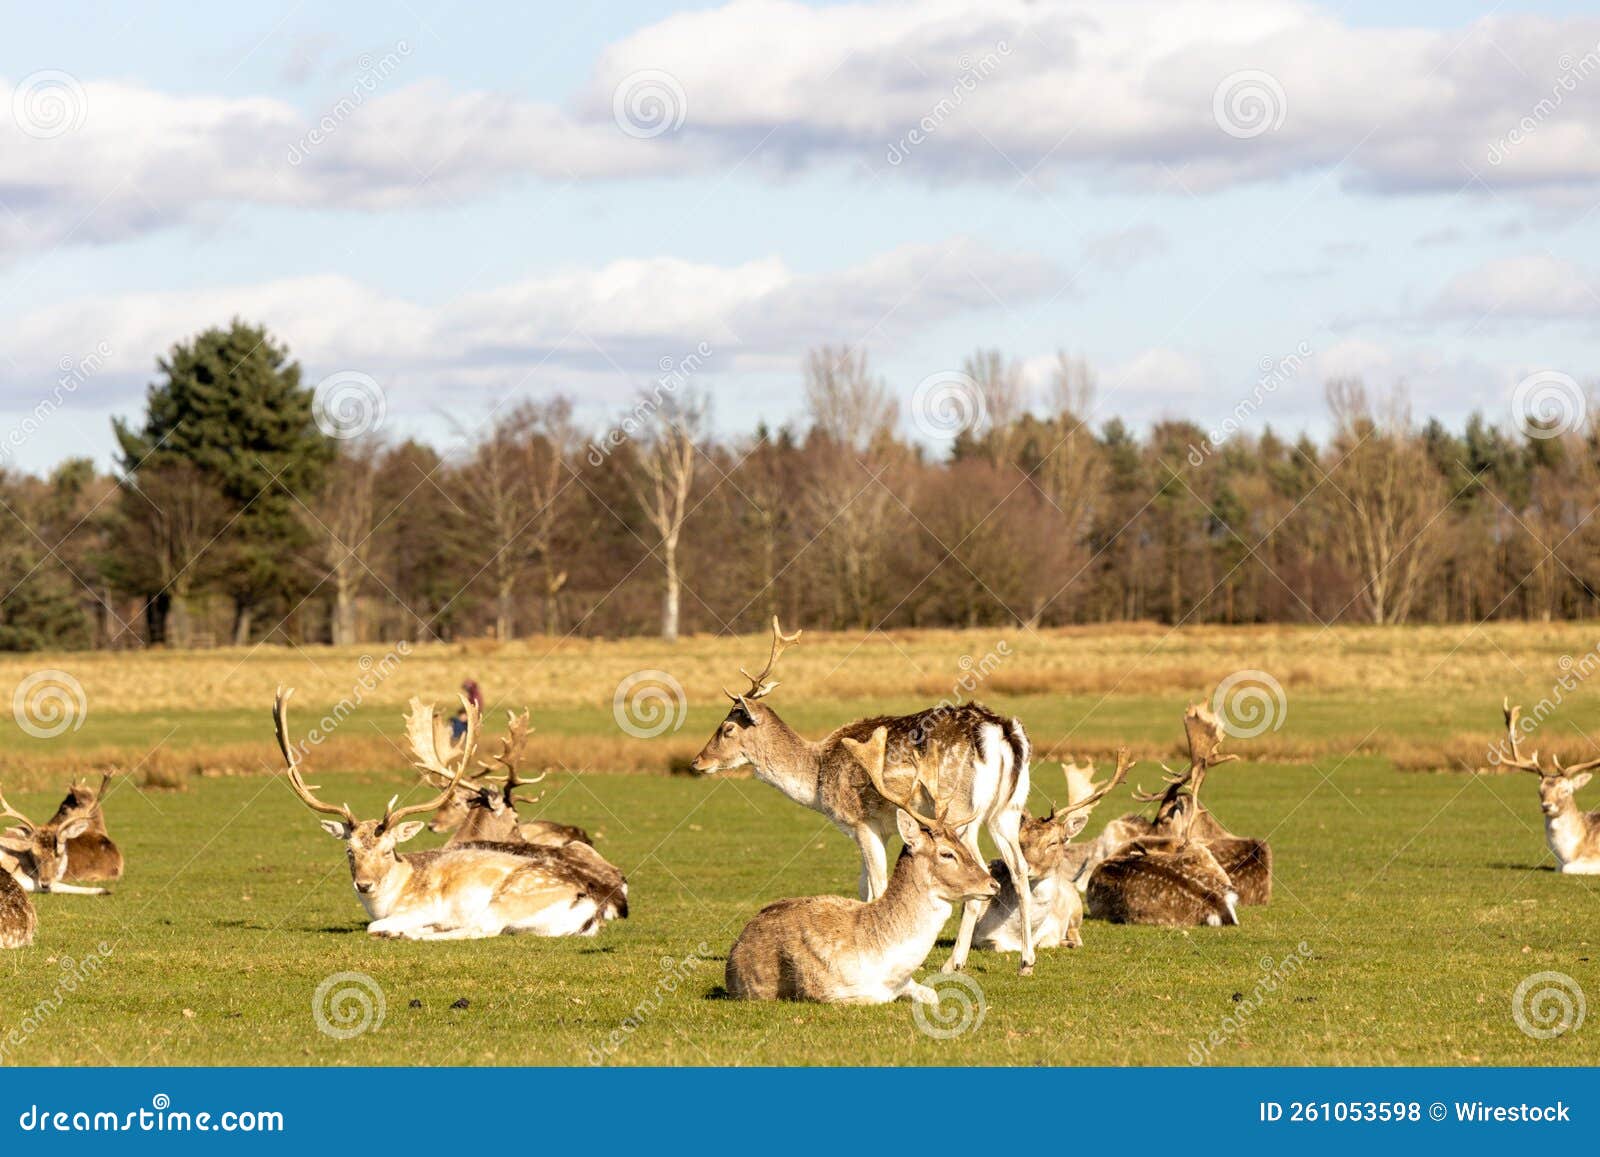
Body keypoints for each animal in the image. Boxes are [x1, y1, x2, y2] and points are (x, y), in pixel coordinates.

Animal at [691, 617, 1038, 974]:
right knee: (1020, 870)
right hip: (1007, 810)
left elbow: (877, 888)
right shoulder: (881, 829)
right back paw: (1025, 961)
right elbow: (864, 888)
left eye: (727, 728)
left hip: (959, 811)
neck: (818, 777)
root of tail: (1003, 733)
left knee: (982, 872)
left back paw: (953, 963)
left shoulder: (861, 821)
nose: (696, 762)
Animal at [725, 726, 999, 1003]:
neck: (885, 969)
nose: (993, 884)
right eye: (946, 854)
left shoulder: (907, 983)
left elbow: (932, 994)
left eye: (962, 845)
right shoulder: (828, 991)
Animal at [975, 750, 1129, 954]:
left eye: (1053, 842)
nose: (1025, 868)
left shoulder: (1054, 928)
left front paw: (1062, 943)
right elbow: (996, 945)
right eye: (1019, 841)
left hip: (1077, 908)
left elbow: (1047, 941)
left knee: (1075, 932)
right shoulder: (979, 936)